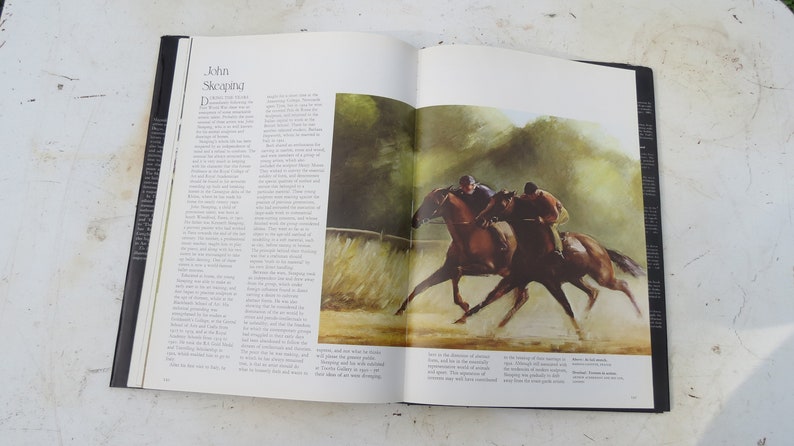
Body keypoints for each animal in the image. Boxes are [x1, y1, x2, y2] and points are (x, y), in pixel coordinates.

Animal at [394, 187, 522, 318]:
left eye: (434, 202)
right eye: (425, 199)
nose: (414, 221)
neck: (469, 236)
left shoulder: (488, 269)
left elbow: (457, 271)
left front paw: (464, 305)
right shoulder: (446, 268)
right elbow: (421, 286)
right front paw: (400, 310)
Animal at [455, 190, 644, 329]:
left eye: (501, 203)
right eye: (489, 202)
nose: (479, 220)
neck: (533, 243)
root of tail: (601, 247)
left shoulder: (550, 281)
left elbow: (568, 308)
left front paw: (580, 335)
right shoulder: (518, 277)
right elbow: (491, 297)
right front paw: (462, 318)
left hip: (603, 276)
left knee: (622, 285)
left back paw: (639, 315)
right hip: (575, 278)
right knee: (593, 292)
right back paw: (586, 316)